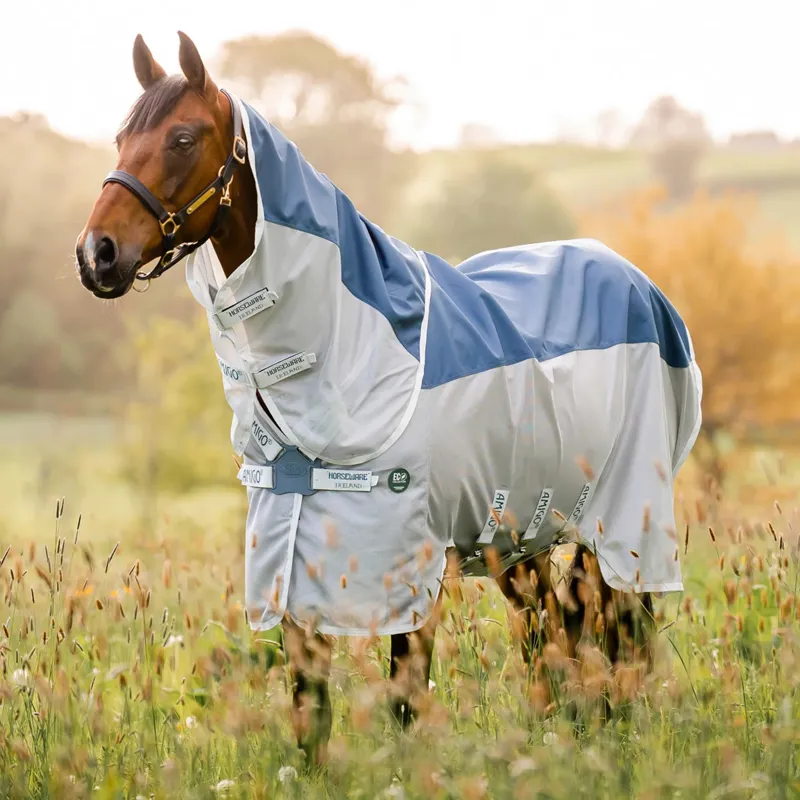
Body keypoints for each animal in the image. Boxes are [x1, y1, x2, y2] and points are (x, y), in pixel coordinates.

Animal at [75, 32, 702, 764]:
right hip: (522, 538)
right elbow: (308, 706)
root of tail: (639, 284)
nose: (96, 254)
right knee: (549, 642)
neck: (348, 361)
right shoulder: (295, 562)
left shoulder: (411, 564)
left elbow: (405, 696)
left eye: (180, 137)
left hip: (623, 526)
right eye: (121, 138)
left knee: (620, 636)